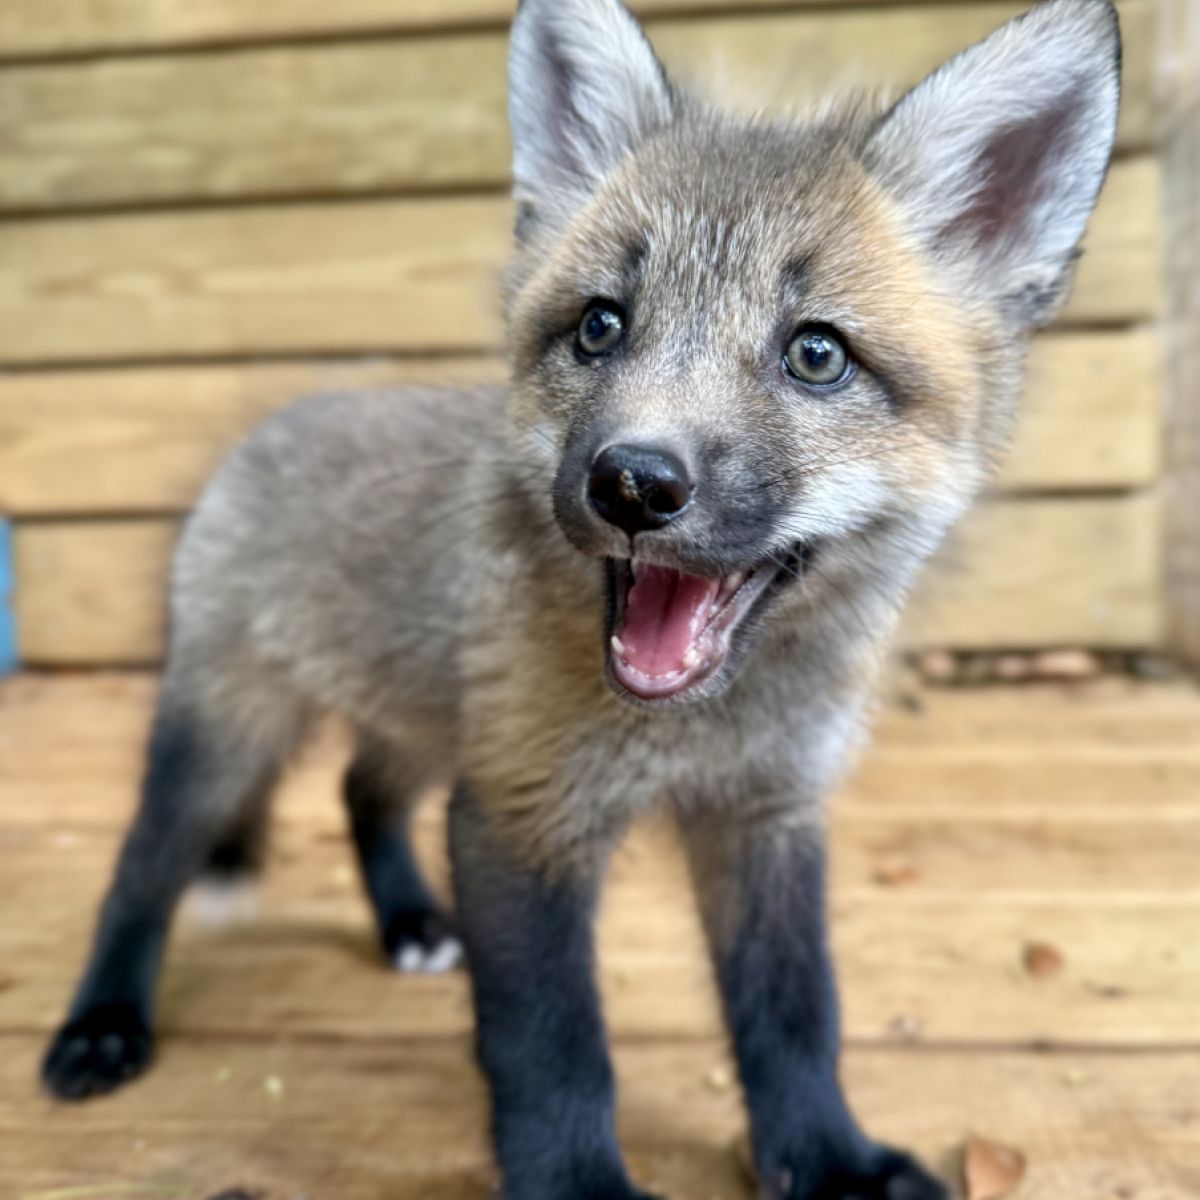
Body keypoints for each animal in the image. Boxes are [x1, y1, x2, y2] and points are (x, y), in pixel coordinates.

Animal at [42, 0, 1121, 1196]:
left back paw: (410, 921)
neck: (696, 728)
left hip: (427, 720)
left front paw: (829, 1158)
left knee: (365, 791)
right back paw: (101, 1023)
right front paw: (576, 1181)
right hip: (225, 734)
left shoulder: (764, 813)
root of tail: (281, 414)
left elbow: (796, 1015)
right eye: (602, 326)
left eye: (816, 354)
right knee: (141, 868)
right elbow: (551, 1045)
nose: (633, 482)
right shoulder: (521, 812)